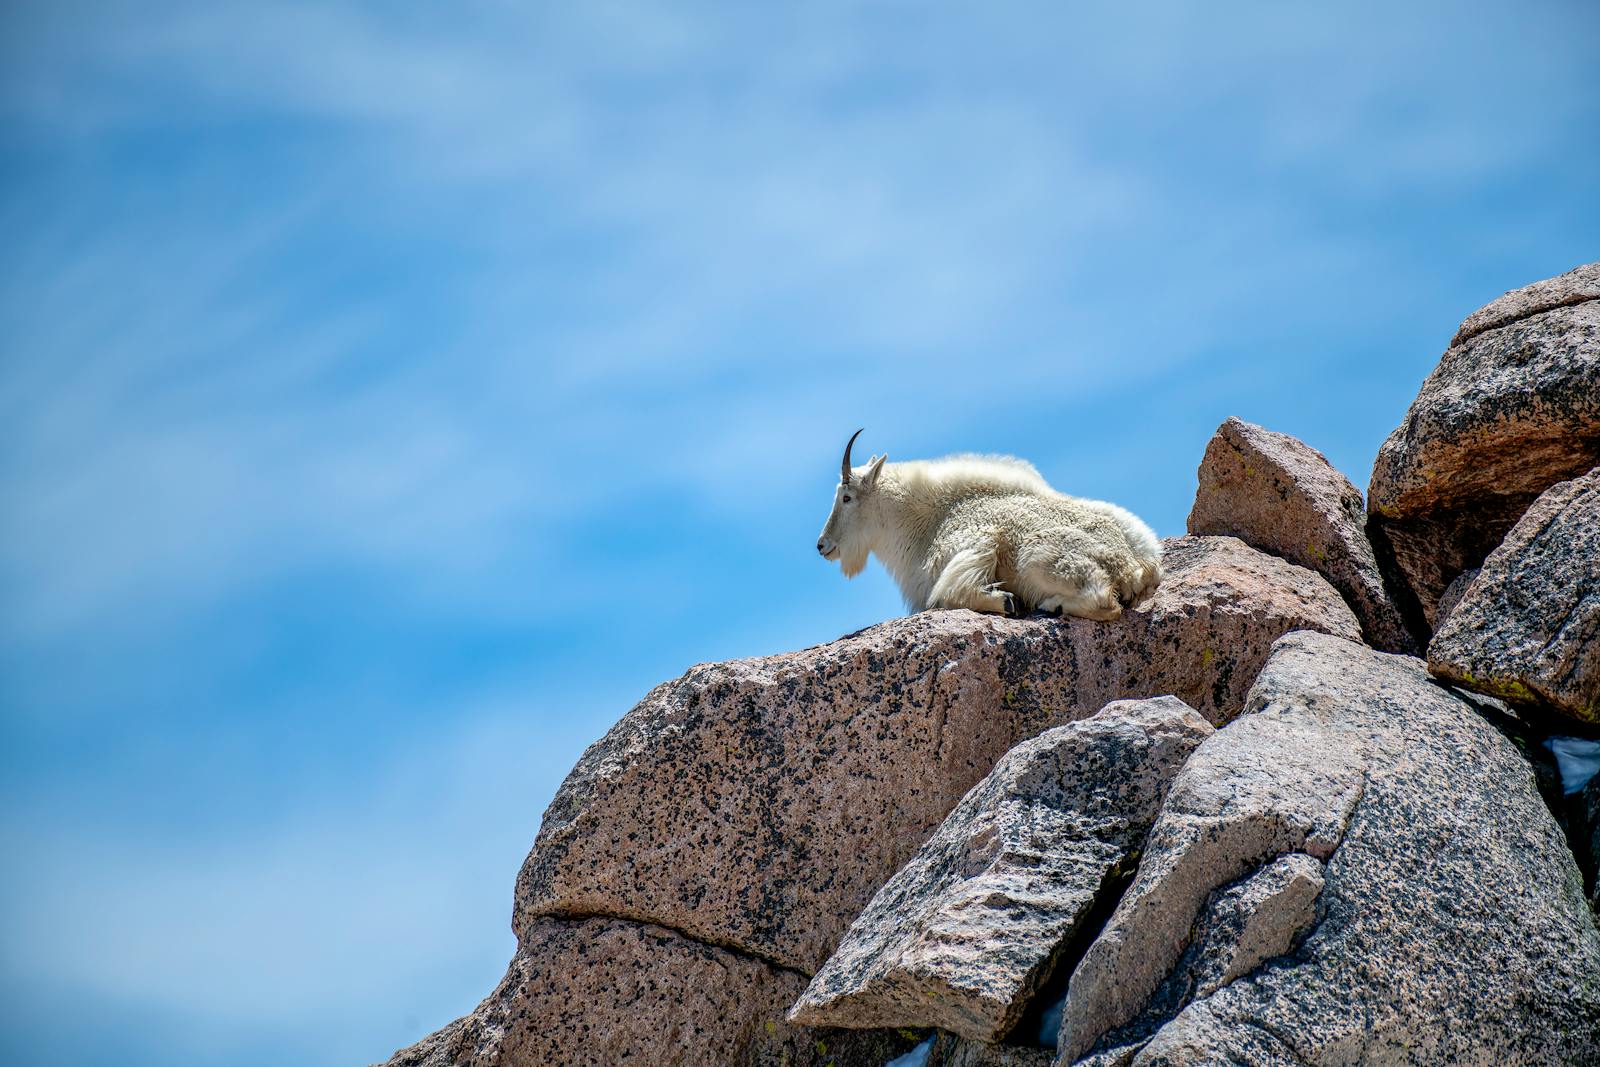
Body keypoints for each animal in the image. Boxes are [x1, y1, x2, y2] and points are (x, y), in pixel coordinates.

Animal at [816, 430, 1162, 620]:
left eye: (846, 497)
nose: (822, 545)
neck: (928, 522)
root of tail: (1133, 568)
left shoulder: (975, 542)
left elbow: (951, 593)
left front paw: (1005, 601)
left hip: (1039, 557)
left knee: (1104, 601)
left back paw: (1052, 605)